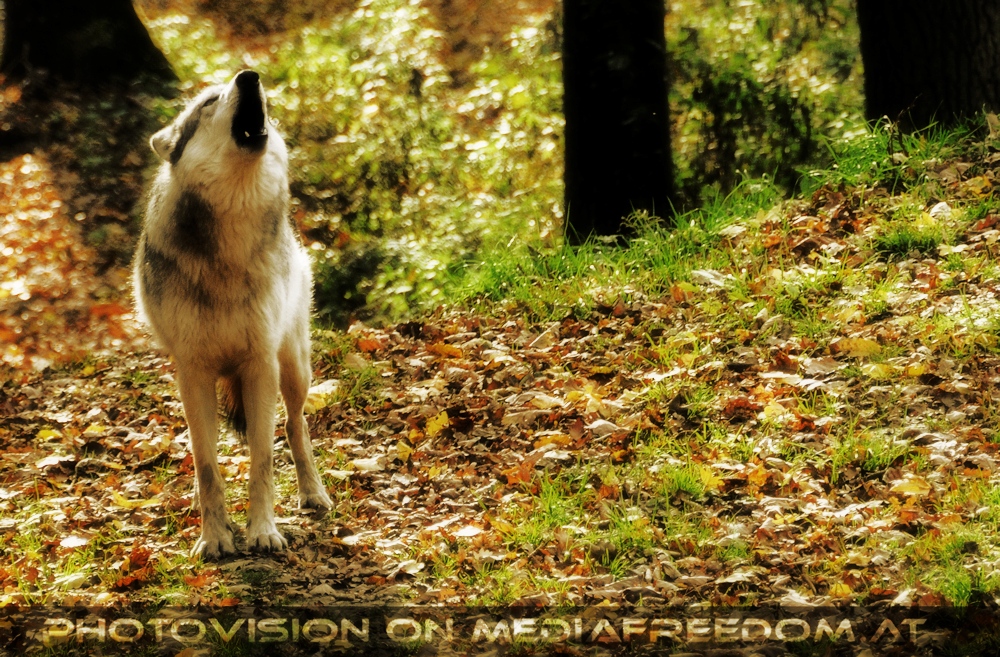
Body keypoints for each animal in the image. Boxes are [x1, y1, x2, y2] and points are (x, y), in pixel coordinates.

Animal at [134, 70, 333, 559]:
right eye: (209, 102)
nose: (249, 76)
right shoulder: (193, 372)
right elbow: (207, 464)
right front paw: (215, 538)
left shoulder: (258, 364)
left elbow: (262, 460)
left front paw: (263, 531)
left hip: (293, 368)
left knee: (296, 425)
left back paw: (314, 494)